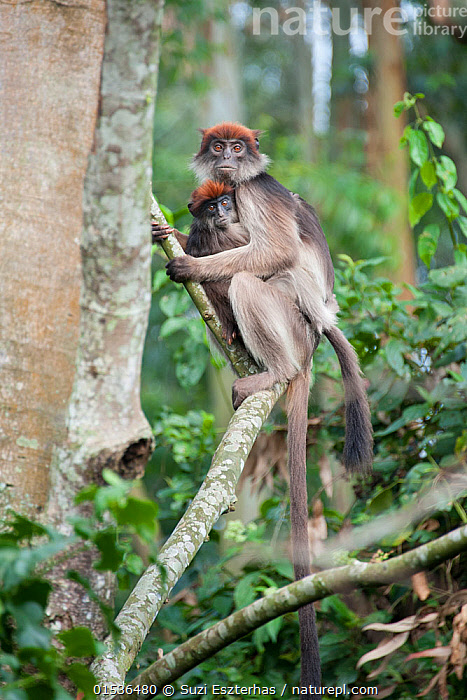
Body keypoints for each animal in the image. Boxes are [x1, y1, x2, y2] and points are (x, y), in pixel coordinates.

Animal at [164, 123, 373, 693]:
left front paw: (188, 258)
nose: (228, 159)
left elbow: (271, 249)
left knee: (244, 278)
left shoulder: (253, 197)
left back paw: (272, 371)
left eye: (238, 149)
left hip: (291, 320)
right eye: (218, 148)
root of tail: (314, 341)